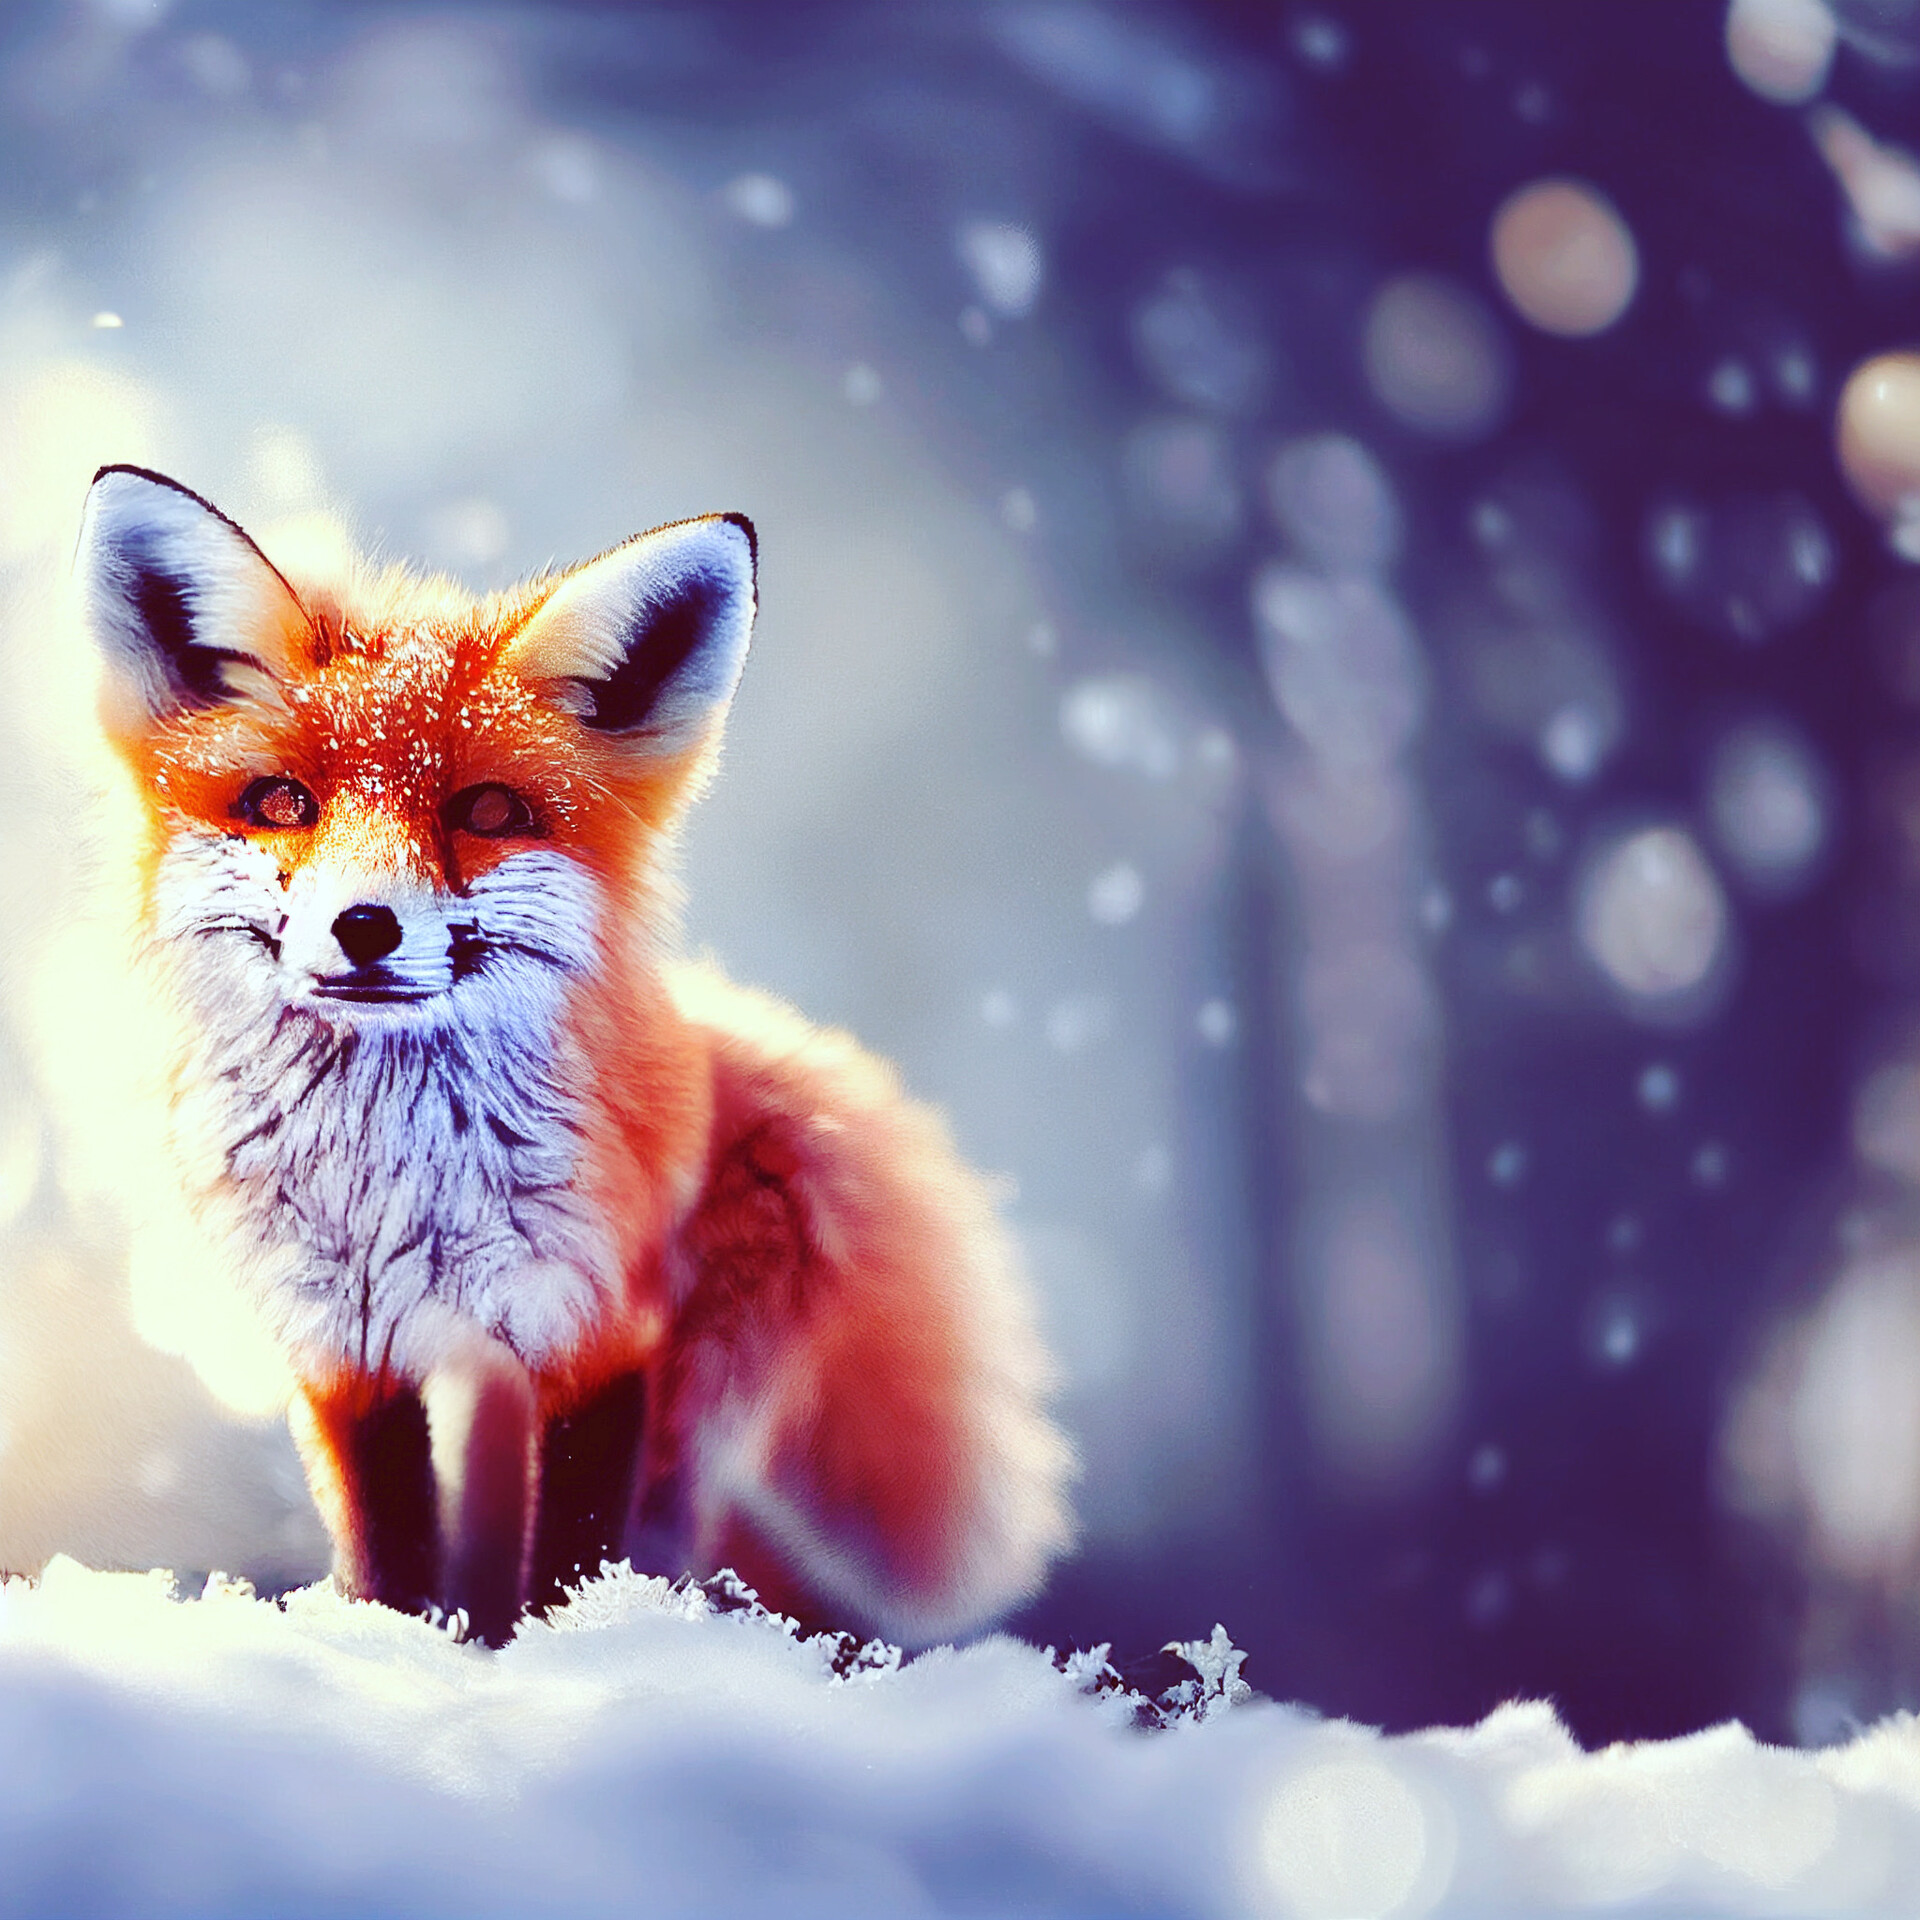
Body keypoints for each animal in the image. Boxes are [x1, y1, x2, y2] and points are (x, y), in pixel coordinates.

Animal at [76, 465, 1074, 1649]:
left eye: (487, 809)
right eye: (282, 802)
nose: (364, 926)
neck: (393, 1181)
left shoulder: (597, 1329)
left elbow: (575, 1552)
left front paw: (576, 1659)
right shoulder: (345, 1347)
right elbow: (389, 1553)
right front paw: (400, 1649)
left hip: (693, 1394)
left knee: (682, 1537)